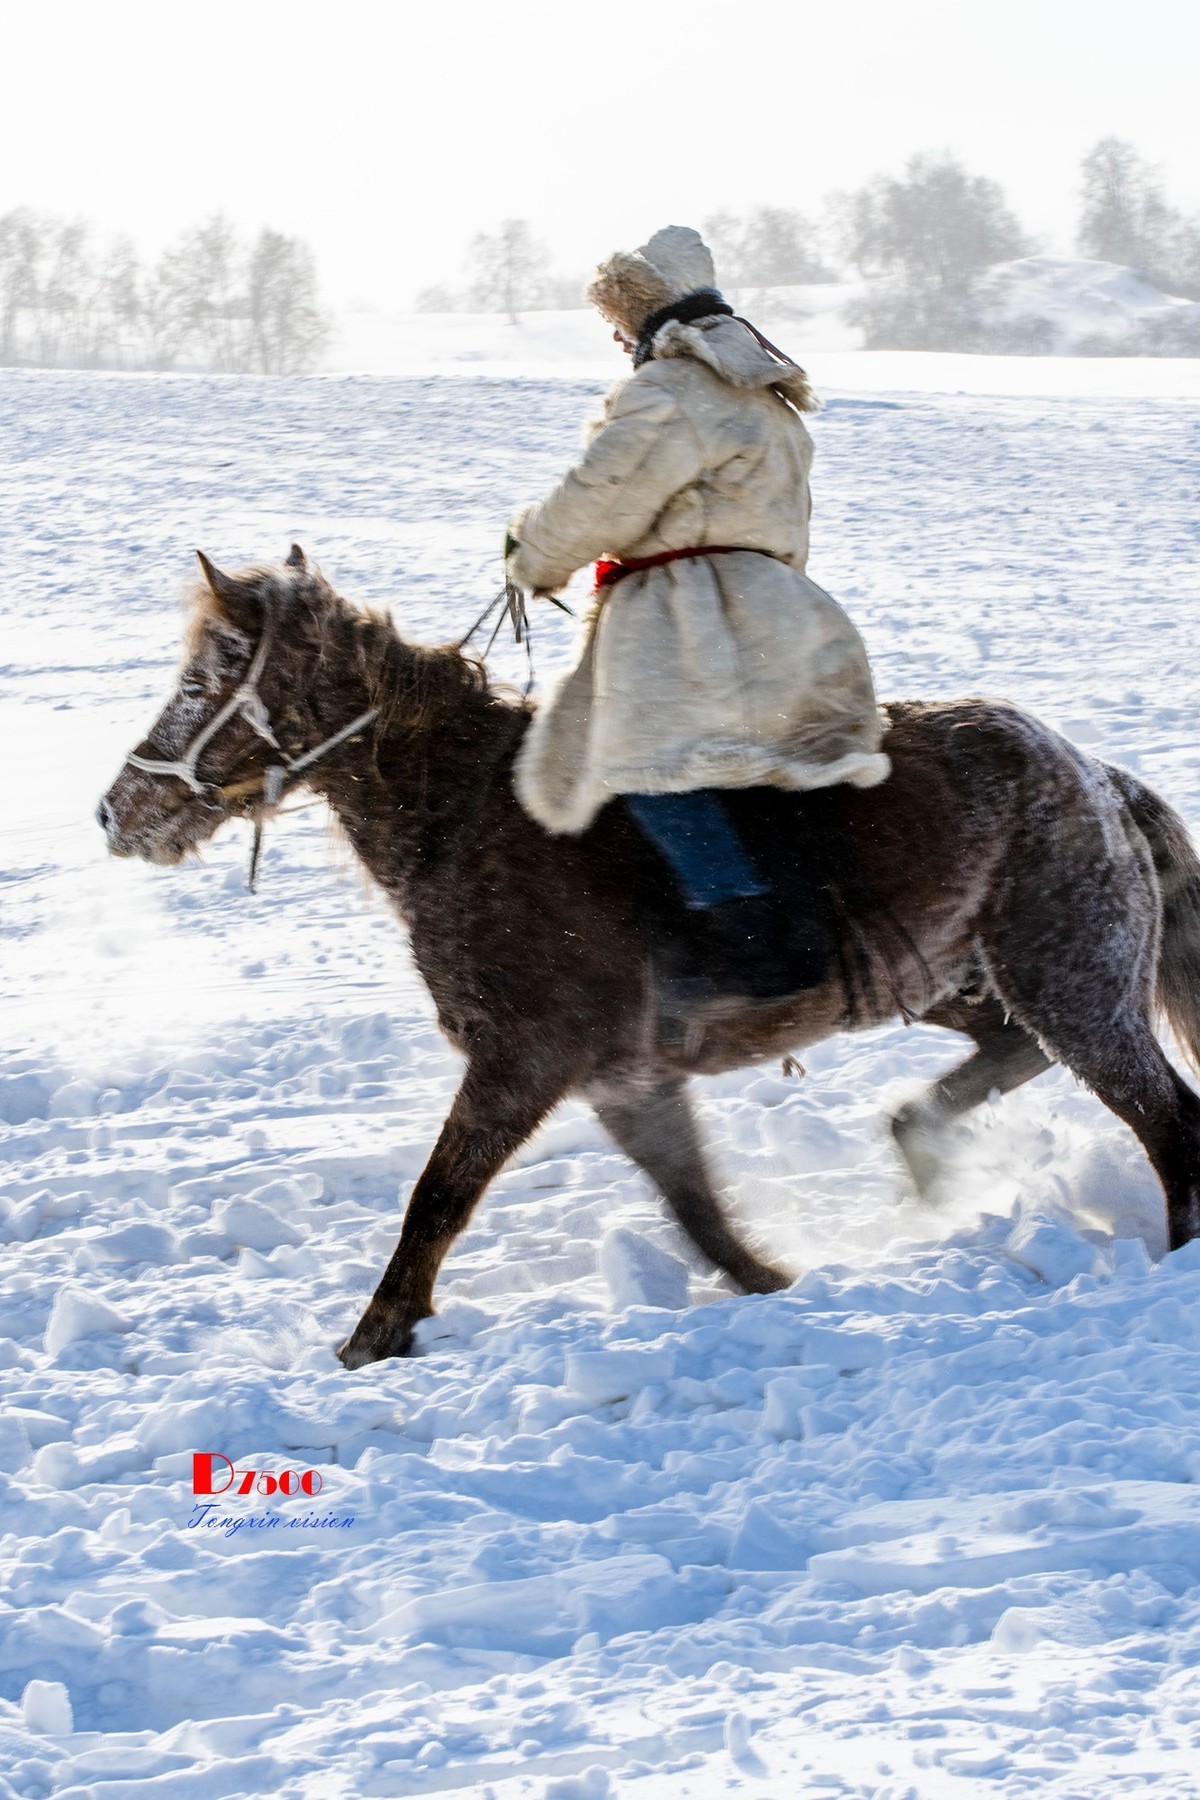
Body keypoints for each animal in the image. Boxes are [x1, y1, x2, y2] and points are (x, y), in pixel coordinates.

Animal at [97, 549, 1200, 1367]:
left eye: (201, 679)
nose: (115, 811)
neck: (475, 820)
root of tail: (1093, 772)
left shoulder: (524, 1063)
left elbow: (437, 1198)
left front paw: (370, 1341)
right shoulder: (626, 1082)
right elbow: (699, 1213)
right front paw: (781, 1288)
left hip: (1068, 978)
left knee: (1165, 1117)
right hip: (954, 977)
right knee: (1015, 1053)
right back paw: (919, 1142)